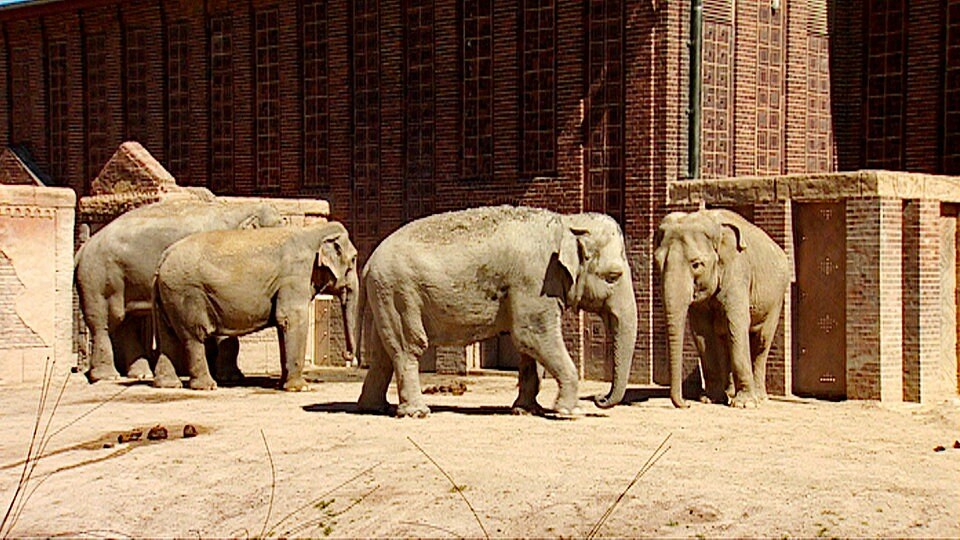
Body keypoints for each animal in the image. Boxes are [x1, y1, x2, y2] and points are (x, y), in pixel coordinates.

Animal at [75, 198, 284, 383]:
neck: (240, 209)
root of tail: (83, 248)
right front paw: (231, 377)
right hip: (97, 278)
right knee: (103, 322)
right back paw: (107, 376)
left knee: (127, 323)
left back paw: (141, 374)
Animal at [153, 221, 358, 391]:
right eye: (354, 259)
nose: (347, 354)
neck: (314, 231)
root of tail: (163, 257)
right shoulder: (295, 275)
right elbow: (291, 318)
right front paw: (301, 388)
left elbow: (282, 324)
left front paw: (282, 385)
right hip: (186, 293)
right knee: (194, 336)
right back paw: (207, 386)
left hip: (169, 295)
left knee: (168, 336)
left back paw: (169, 385)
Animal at [356, 205, 638, 418]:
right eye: (613, 276)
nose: (600, 399)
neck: (567, 222)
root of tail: (368, 263)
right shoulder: (535, 281)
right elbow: (532, 336)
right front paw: (571, 412)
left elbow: (528, 348)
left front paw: (526, 410)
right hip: (399, 292)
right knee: (408, 347)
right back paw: (417, 413)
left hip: (386, 294)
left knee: (383, 353)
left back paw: (375, 408)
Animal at [654, 208, 790, 409]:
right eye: (657, 263)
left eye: (696, 264)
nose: (686, 404)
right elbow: (701, 332)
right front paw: (709, 399)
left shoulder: (738, 271)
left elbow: (737, 322)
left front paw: (745, 404)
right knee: (725, 340)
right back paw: (730, 393)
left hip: (777, 298)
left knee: (761, 341)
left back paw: (759, 397)